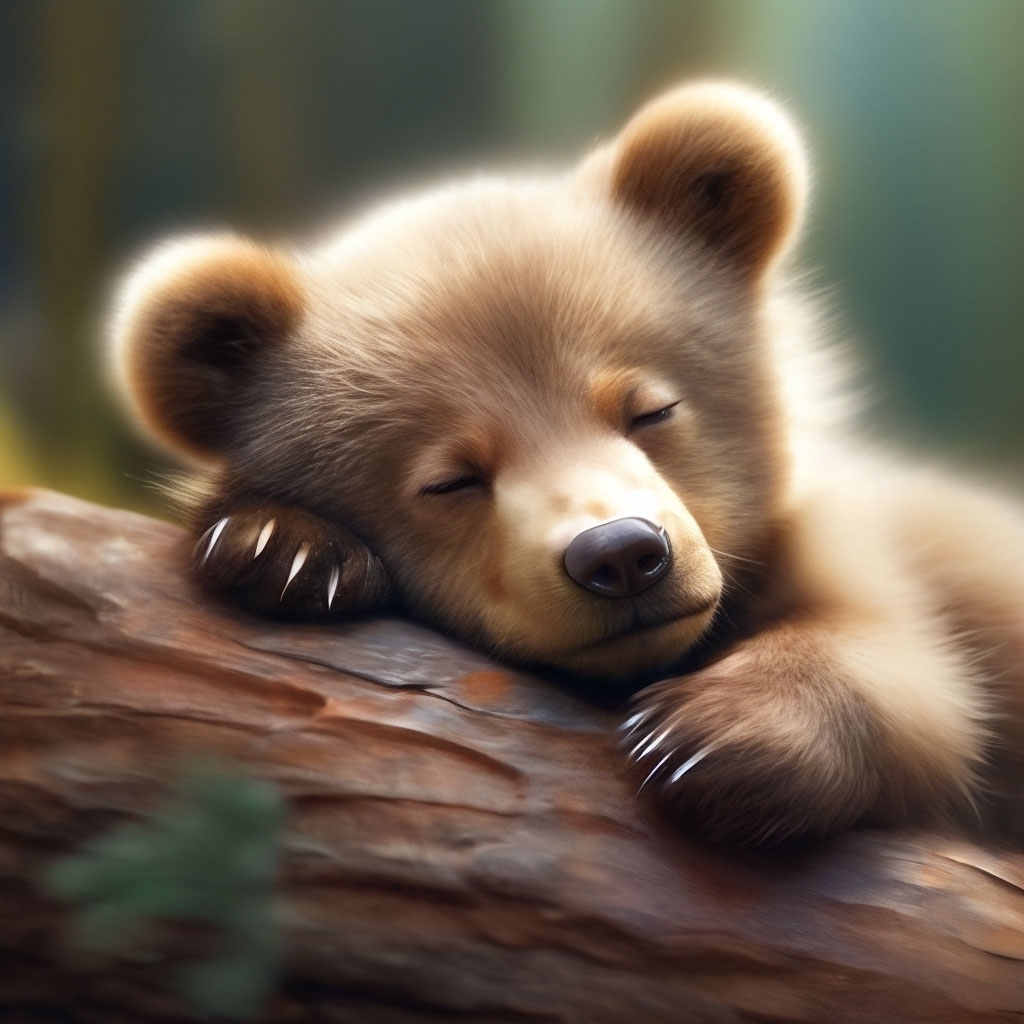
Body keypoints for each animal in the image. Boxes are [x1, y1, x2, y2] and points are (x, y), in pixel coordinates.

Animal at [109, 81, 1024, 844]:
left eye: (650, 409)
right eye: (451, 478)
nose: (622, 555)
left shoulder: (854, 544)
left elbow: (915, 680)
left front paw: (705, 737)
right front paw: (285, 547)